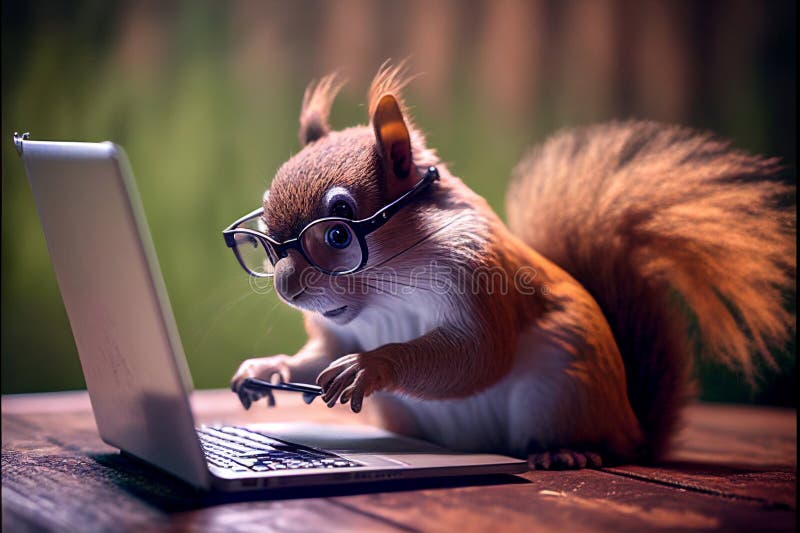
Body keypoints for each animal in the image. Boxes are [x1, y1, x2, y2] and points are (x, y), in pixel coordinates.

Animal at [230, 63, 796, 468]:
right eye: (266, 243)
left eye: (339, 231)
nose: (286, 290)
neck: (386, 288)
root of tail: (632, 426)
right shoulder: (341, 333)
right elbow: (320, 356)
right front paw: (266, 369)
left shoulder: (477, 275)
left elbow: (478, 354)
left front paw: (373, 365)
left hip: (558, 389)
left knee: (589, 441)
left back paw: (567, 452)